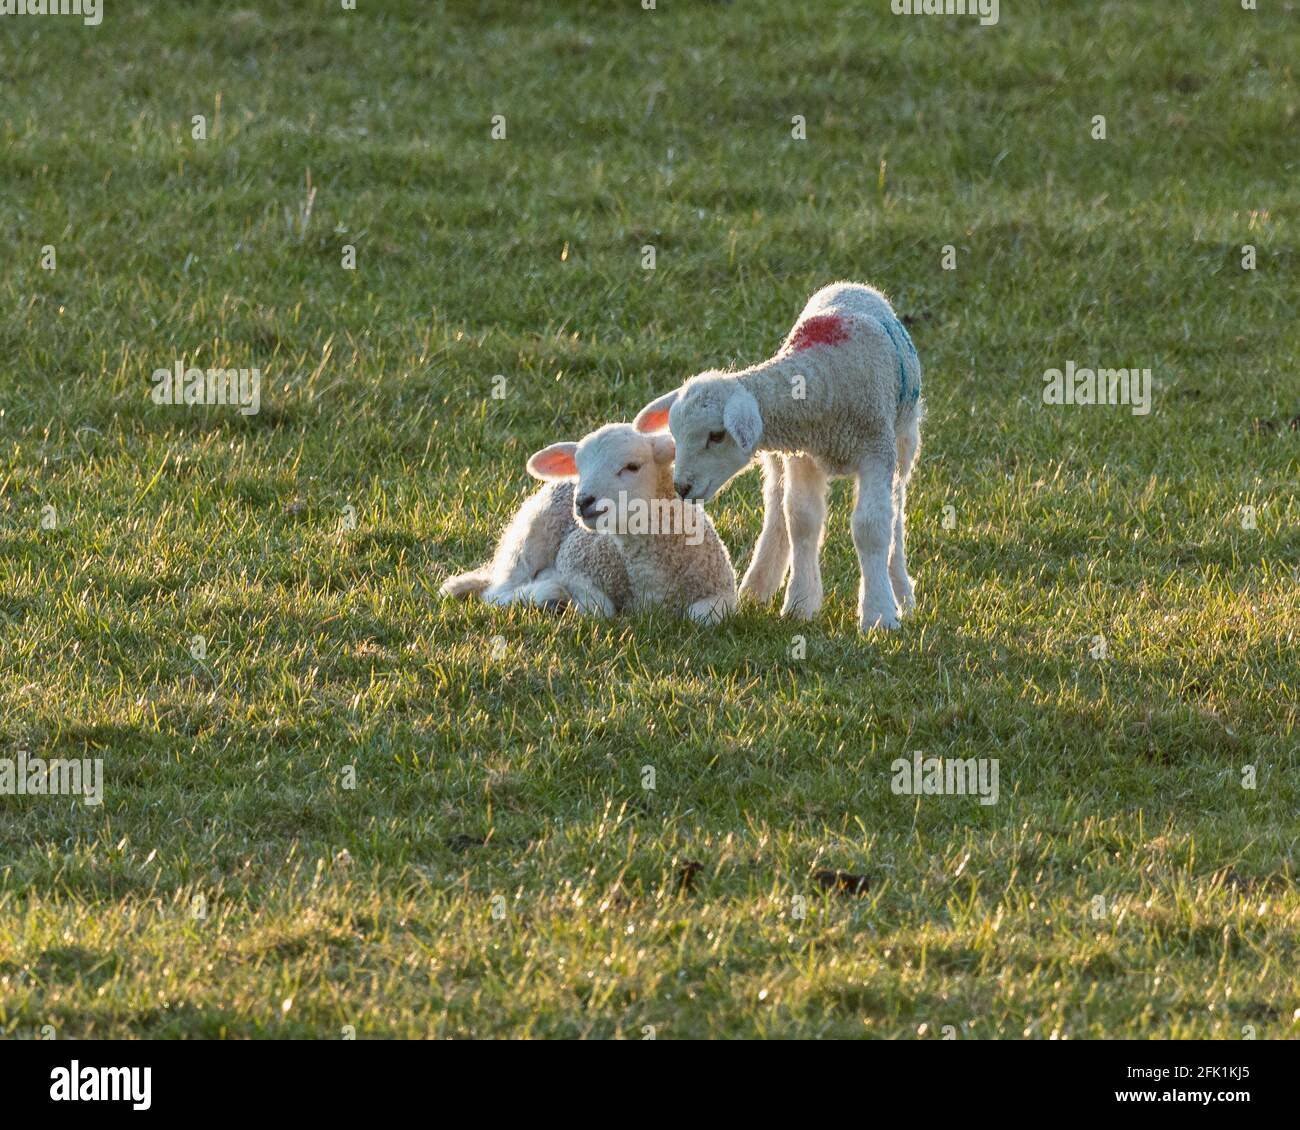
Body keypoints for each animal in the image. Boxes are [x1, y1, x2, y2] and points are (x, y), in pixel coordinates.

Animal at [440, 423, 737, 624]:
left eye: (632, 466)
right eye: (580, 467)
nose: (583, 500)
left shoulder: (723, 591)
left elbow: (701, 616)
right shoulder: (573, 562)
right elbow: (599, 610)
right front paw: (558, 596)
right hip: (530, 538)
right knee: (497, 593)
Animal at [633, 281, 922, 633]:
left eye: (716, 435)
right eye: (675, 433)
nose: (682, 488)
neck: (826, 375)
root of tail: (853, 286)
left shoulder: (876, 449)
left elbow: (872, 526)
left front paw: (879, 614)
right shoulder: (803, 455)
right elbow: (801, 519)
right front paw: (800, 604)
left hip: (904, 439)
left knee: (897, 506)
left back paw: (902, 593)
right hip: (780, 459)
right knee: (775, 507)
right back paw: (758, 586)